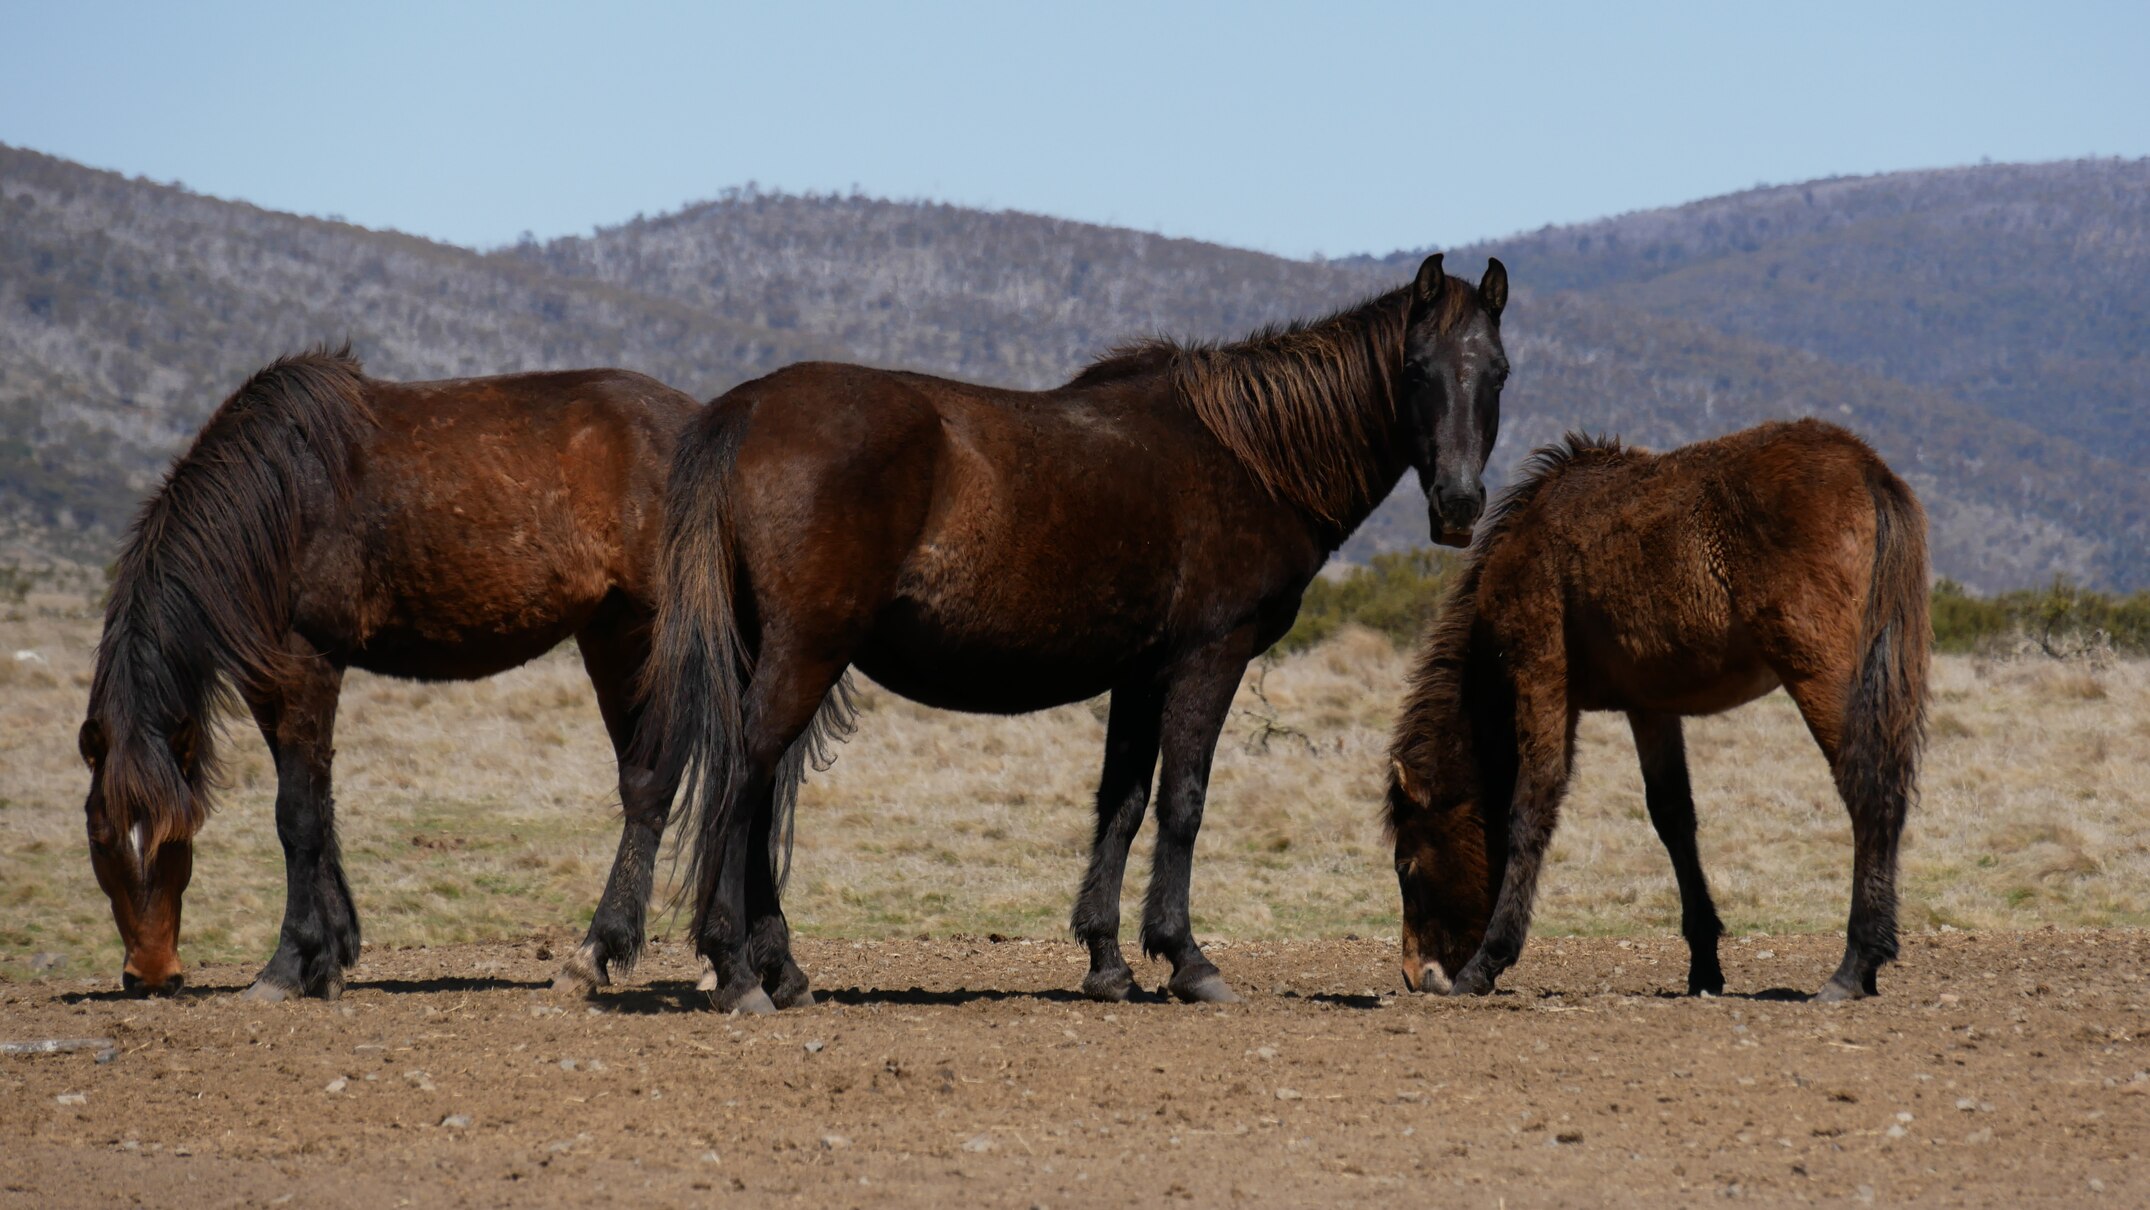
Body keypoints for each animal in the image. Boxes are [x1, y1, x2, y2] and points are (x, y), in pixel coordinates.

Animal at [76, 347, 848, 999]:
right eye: (103, 838)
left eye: (172, 838)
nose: (150, 975)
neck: (278, 495)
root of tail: (720, 437)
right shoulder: (275, 681)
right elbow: (317, 806)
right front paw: (331, 955)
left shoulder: (305, 661)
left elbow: (296, 816)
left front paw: (287, 965)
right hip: (622, 635)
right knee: (732, 779)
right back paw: (771, 968)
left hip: (650, 634)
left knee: (666, 784)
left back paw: (603, 955)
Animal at [640, 254, 1510, 1012]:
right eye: (1416, 369)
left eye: (1497, 371)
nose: (1460, 505)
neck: (1249, 455)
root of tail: (747, 407)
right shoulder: (1209, 659)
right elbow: (1183, 802)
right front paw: (1188, 960)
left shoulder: (1139, 675)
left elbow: (1120, 805)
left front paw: (1109, 962)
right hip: (805, 654)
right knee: (743, 776)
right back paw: (736, 970)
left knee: (757, 789)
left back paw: (782, 970)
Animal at [1384, 419, 1929, 1002]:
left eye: (1406, 865)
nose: (1416, 975)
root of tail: (1869, 470)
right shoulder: (1649, 708)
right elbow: (1673, 817)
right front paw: (1704, 966)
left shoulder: (1540, 676)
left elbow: (1531, 807)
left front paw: (1487, 962)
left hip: (1818, 675)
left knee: (1868, 791)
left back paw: (1854, 965)